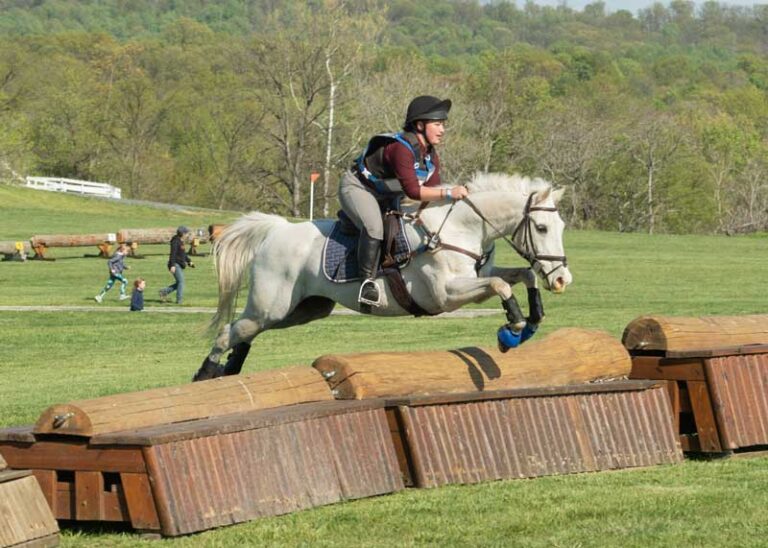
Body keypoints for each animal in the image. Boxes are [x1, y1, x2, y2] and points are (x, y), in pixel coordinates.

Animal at [193, 172, 573, 381]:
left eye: (562, 227)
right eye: (541, 227)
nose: (562, 280)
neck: (463, 227)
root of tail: (277, 229)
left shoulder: (478, 277)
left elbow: (521, 275)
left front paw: (533, 319)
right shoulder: (445, 294)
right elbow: (501, 284)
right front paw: (512, 331)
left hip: (302, 310)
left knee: (245, 332)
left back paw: (229, 370)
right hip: (272, 305)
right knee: (231, 330)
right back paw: (206, 375)